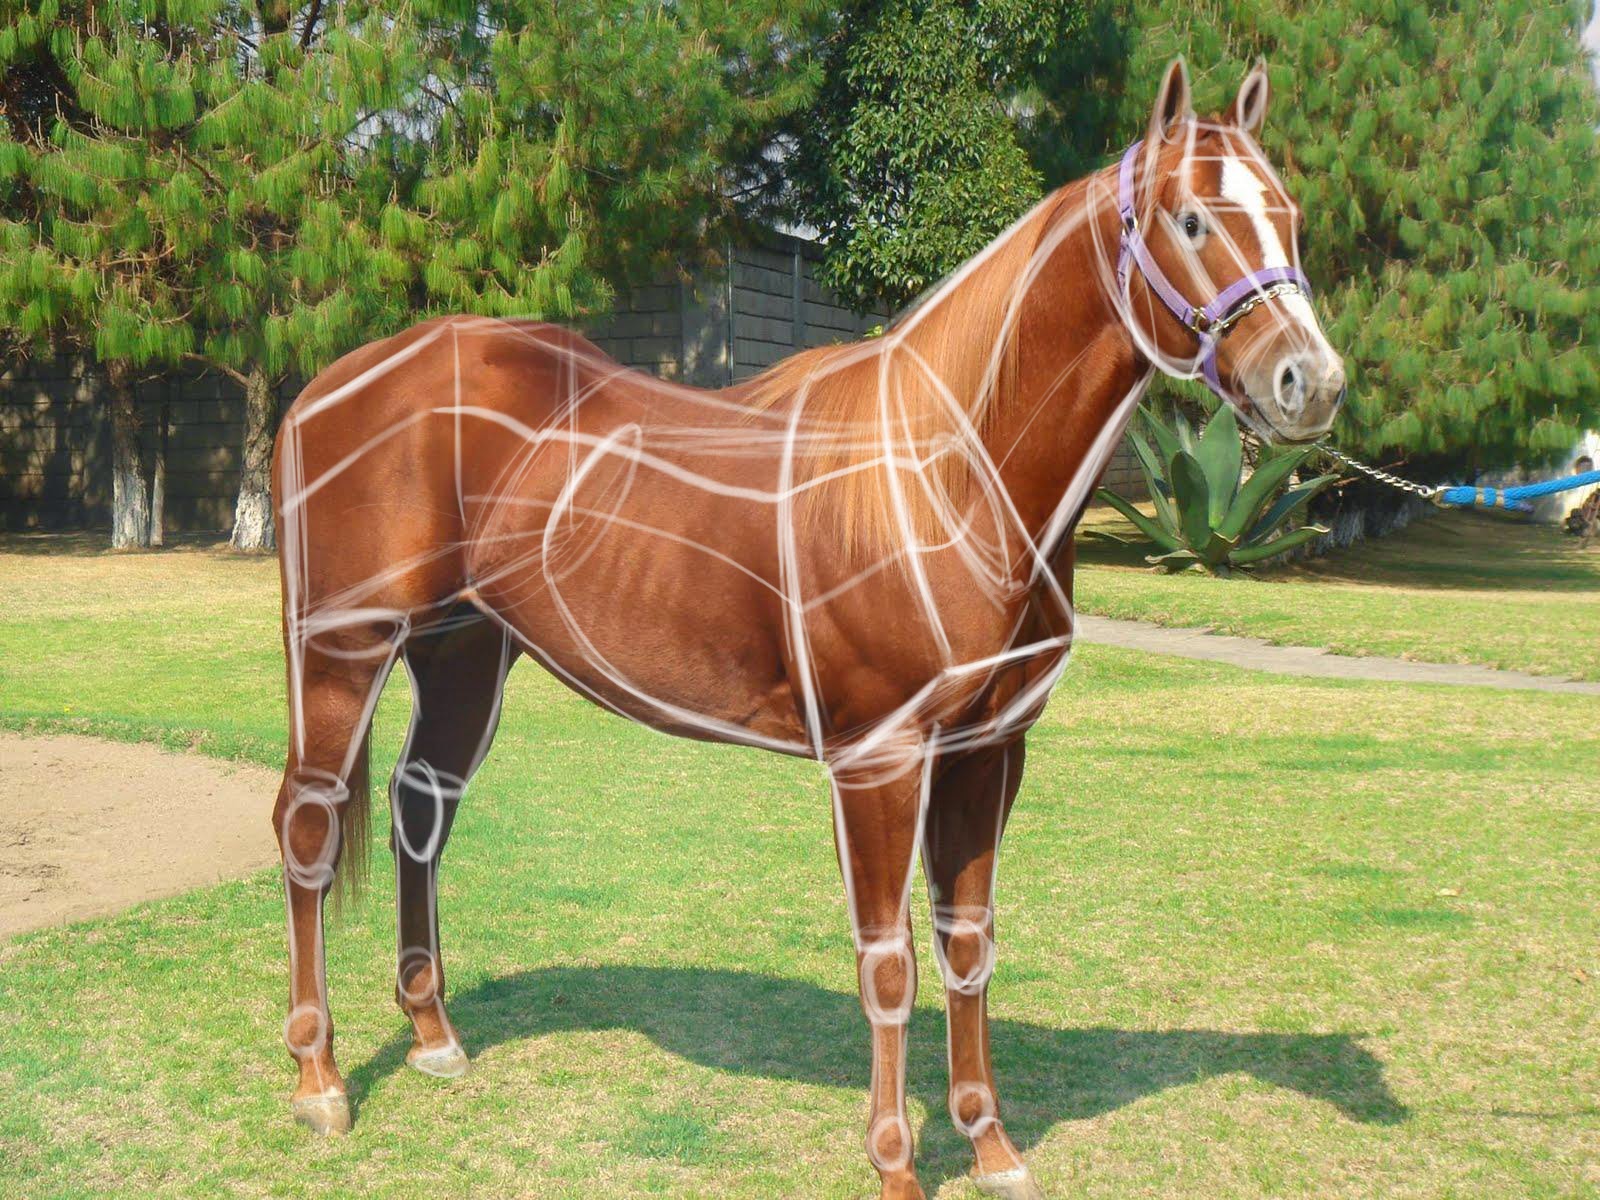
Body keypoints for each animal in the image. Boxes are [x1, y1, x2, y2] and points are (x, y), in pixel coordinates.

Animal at [268, 58, 1345, 1200]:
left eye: (1289, 214)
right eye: (1192, 217)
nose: (1310, 382)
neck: (950, 472)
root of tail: (333, 384)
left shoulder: (987, 751)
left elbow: (969, 943)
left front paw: (990, 1144)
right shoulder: (878, 761)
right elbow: (891, 961)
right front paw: (896, 1165)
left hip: (463, 650)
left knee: (419, 806)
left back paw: (432, 1034)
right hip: (343, 648)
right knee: (308, 827)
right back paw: (319, 1079)